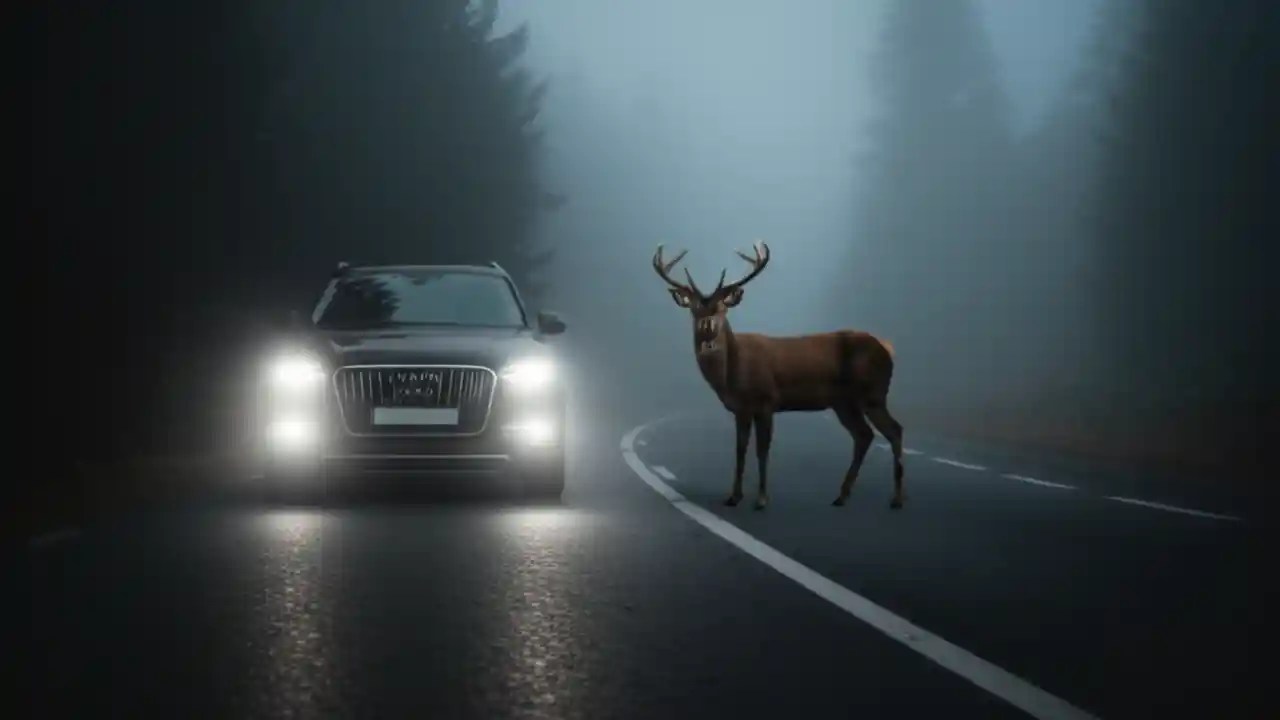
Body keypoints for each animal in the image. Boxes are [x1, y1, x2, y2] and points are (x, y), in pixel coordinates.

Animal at [652, 241, 905, 511]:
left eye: (722, 309)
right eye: (694, 309)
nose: (707, 330)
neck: (734, 374)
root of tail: (887, 348)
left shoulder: (767, 401)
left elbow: (762, 450)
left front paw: (762, 499)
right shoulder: (741, 409)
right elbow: (739, 450)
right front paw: (733, 496)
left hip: (872, 393)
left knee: (894, 430)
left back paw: (896, 499)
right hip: (845, 403)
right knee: (865, 435)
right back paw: (842, 496)